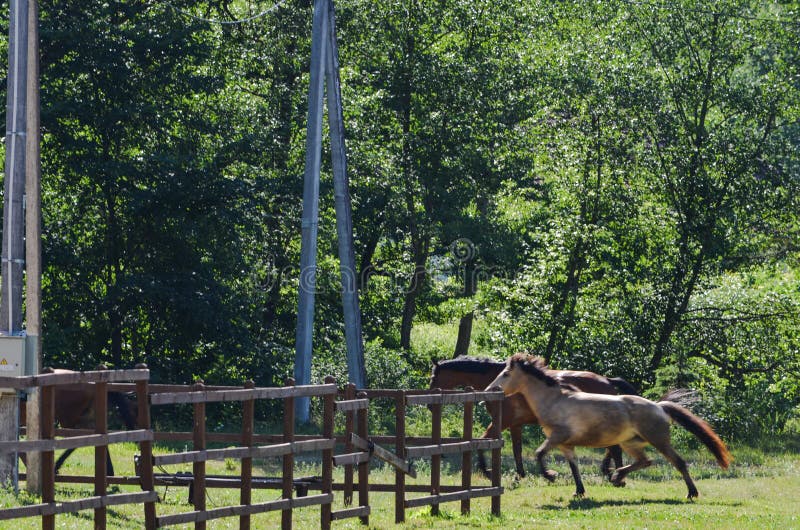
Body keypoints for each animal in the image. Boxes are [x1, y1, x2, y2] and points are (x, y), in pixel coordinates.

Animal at [429, 355, 638, 478]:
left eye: (433, 378)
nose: (431, 405)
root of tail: (607, 380)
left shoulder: (501, 422)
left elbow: (482, 442)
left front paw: (486, 471)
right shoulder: (515, 425)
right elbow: (517, 450)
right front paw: (521, 473)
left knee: (614, 447)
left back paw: (615, 471)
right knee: (612, 446)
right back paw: (609, 469)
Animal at [485, 353, 731, 498]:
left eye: (506, 374)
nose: (489, 390)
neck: (555, 399)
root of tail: (660, 406)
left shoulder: (557, 437)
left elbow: (538, 454)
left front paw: (551, 476)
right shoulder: (565, 444)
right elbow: (574, 467)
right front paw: (579, 491)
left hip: (658, 440)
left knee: (678, 462)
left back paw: (691, 493)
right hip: (631, 443)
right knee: (645, 461)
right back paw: (616, 476)